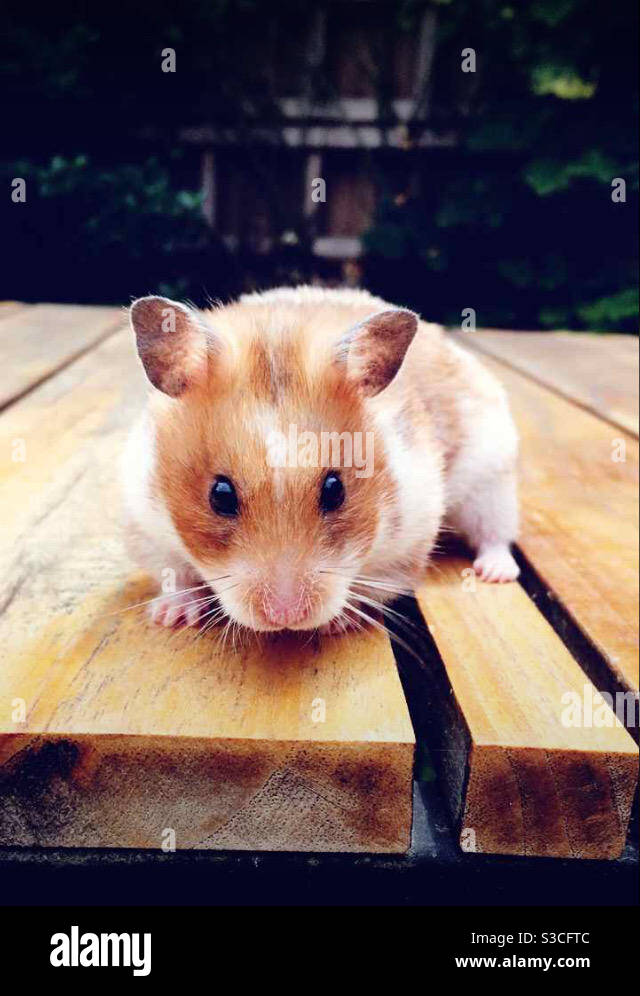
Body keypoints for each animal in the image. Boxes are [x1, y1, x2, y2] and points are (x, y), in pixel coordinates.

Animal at [122, 285, 519, 633]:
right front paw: (170, 617)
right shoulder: (145, 524)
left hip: (491, 477)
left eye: (335, 490)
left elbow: (374, 585)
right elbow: (174, 575)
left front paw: (340, 622)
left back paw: (495, 572)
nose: (285, 617)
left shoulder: (408, 541)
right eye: (219, 496)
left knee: (496, 534)